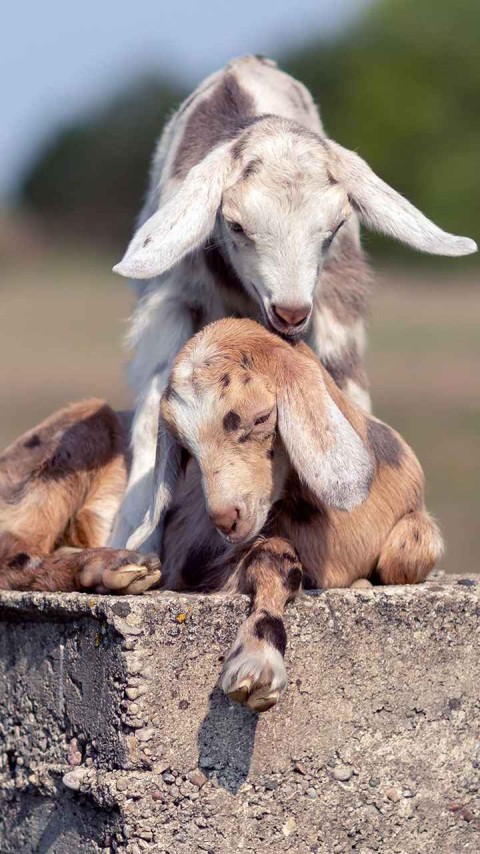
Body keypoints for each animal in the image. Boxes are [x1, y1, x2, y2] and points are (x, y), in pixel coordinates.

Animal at [0, 319, 443, 712]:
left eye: (262, 416)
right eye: (184, 446)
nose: (225, 519)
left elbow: (413, 549)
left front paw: (364, 582)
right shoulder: (200, 567)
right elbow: (275, 556)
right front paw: (258, 662)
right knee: (14, 550)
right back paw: (112, 565)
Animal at [108, 54, 476, 554]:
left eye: (336, 225)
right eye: (236, 226)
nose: (290, 312)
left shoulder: (336, 300)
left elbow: (345, 386)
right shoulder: (172, 299)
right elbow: (153, 406)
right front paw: (133, 543)